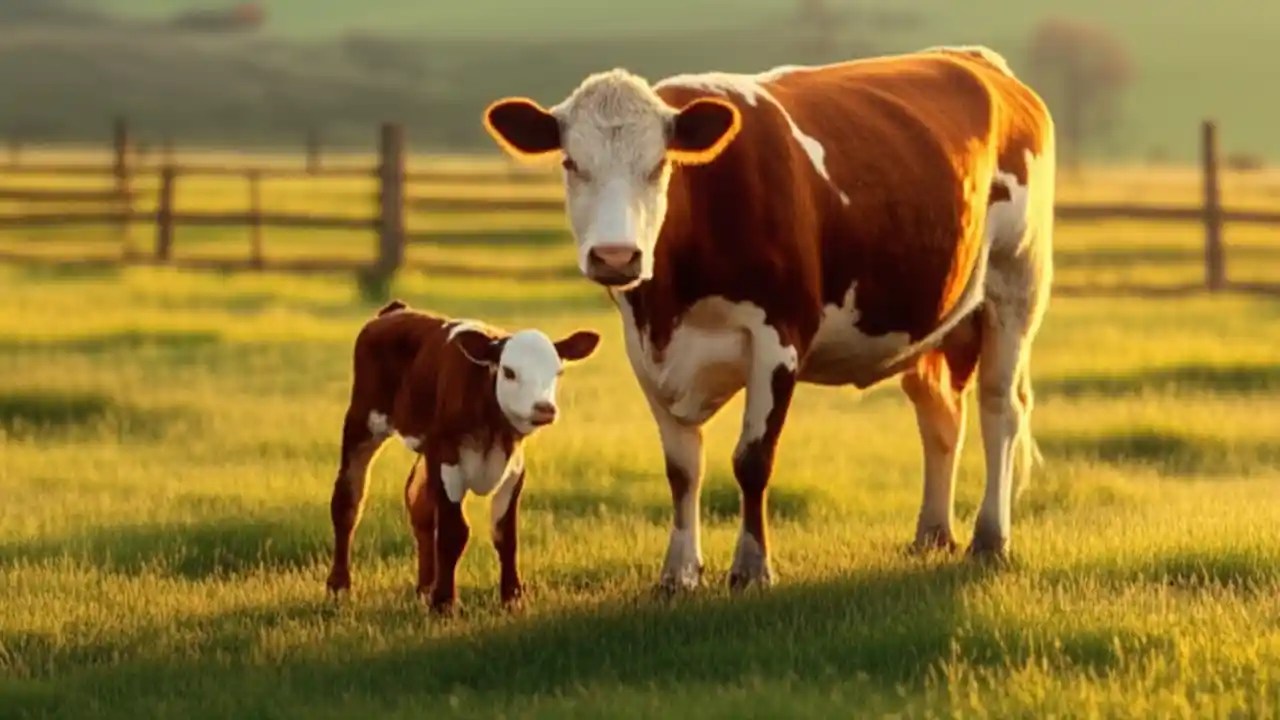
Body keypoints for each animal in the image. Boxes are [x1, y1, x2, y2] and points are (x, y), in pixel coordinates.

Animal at [325, 300, 601, 613]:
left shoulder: (513, 467)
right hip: (363, 422)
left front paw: (512, 597)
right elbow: (453, 532)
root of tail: (393, 311)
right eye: (509, 372)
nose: (544, 408)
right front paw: (444, 603)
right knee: (348, 500)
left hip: (427, 450)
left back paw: (424, 587)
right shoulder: (448, 461)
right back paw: (339, 585)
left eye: (557, 373)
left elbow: (505, 533)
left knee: (418, 504)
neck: (493, 428)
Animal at [480, 46, 1055, 591]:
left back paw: (990, 537)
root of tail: (978, 60)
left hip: (1016, 279)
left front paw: (752, 568)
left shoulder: (778, 336)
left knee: (1000, 407)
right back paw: (932, 534)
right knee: (938, 415)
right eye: (571, 164)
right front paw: (678, 573)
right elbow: (682, 469)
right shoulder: (643, 350)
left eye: (660, 165)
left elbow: (752, 459)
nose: (616, 256)